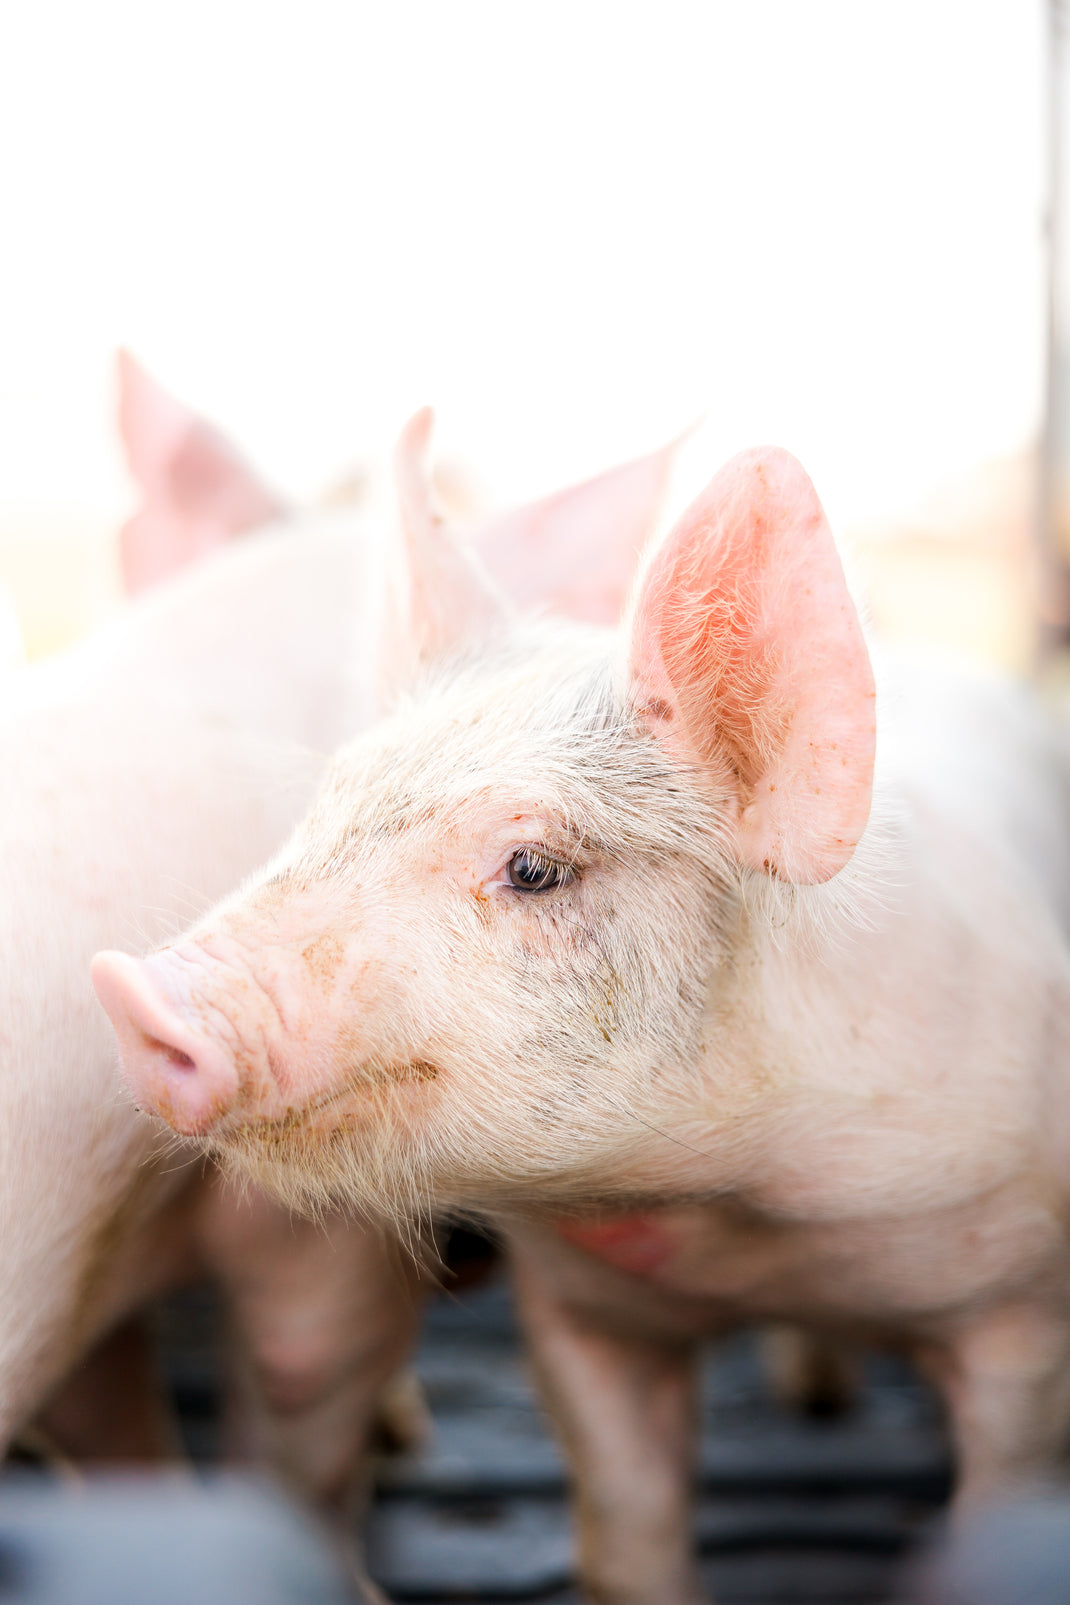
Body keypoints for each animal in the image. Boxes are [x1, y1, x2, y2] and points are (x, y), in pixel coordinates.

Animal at [94, 413, 1070, 1605]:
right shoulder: (579, 1314)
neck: (741, 1220)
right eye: (326, 806)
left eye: (531, 867)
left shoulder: (1025, 1309)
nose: (133, 989)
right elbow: (625, 1527)